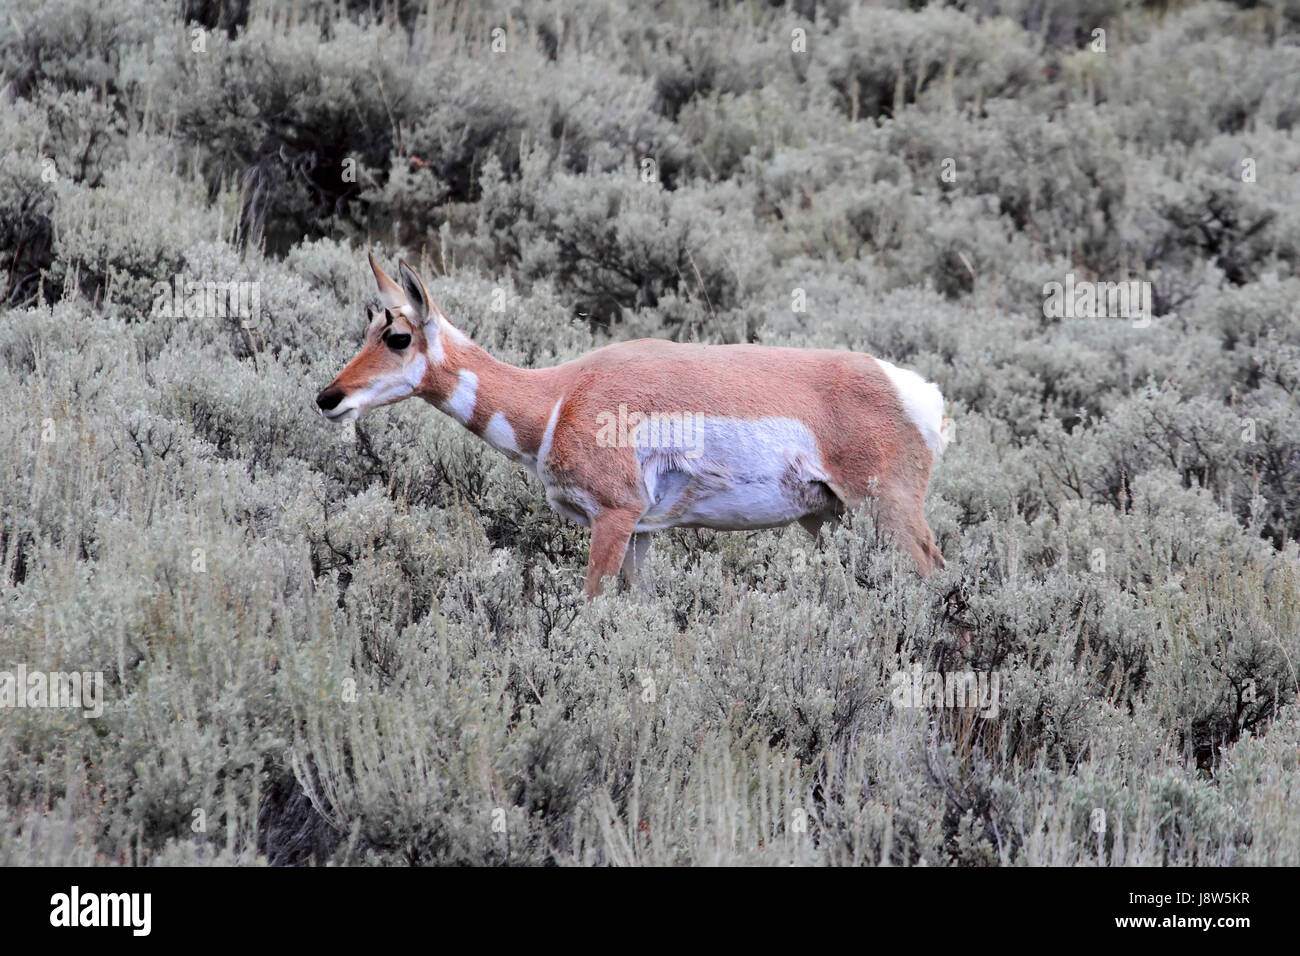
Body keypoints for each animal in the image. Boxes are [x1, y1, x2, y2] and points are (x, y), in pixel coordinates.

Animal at [316, 255, 947, 598]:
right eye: (368, 327)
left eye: (399, 337)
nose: (328, 398)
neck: (559, 395)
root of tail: (913, 388)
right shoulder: (642, 532)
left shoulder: (613, 517)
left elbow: (593, 602)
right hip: (838, 519)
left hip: (888, 512)